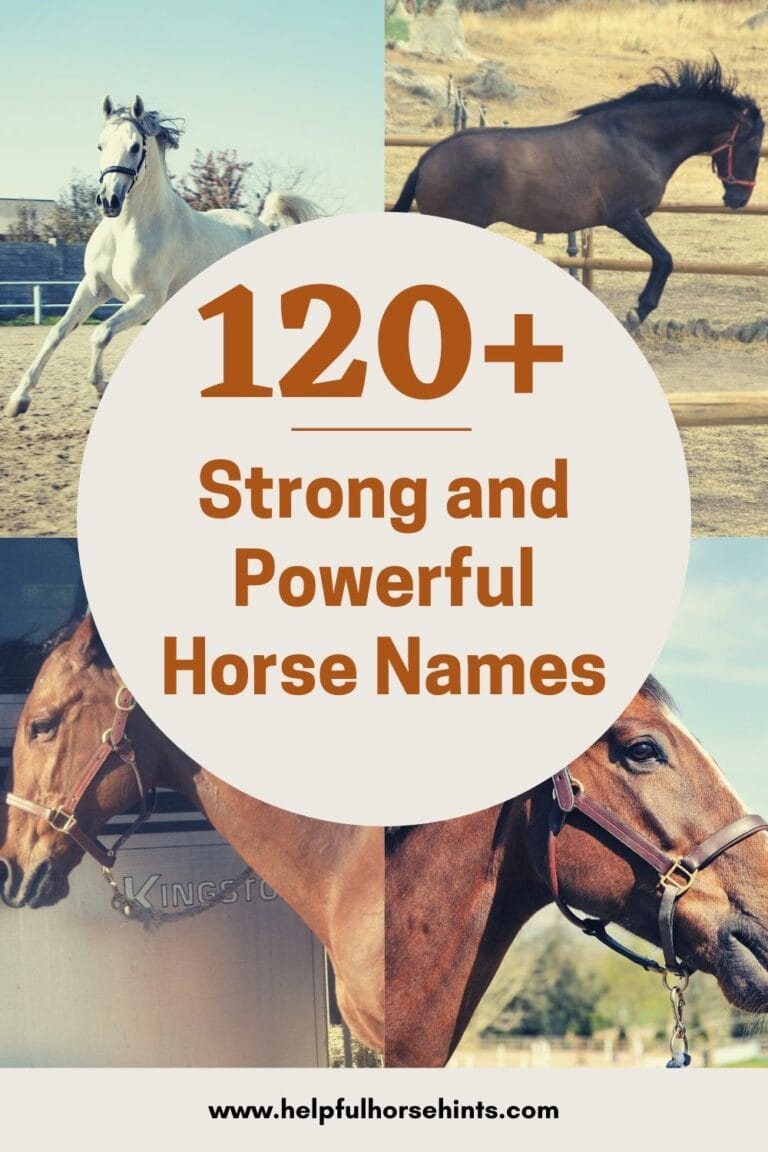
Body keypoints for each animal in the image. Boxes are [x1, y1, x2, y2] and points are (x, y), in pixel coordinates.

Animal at [4, 95, 324, 418]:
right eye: (100, 145)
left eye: (135, 146)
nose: (108, 201)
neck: (128, 230)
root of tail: (262, 225)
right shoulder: (94, 288)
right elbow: (57, 333)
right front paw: (18, 399)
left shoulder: (147, 299)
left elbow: (101, 334)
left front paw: (101, 386)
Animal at [390, 59, 764, 324]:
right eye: (751, 144)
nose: (739, 199)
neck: (638, 140)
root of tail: (428, 158)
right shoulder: (625, 217)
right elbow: (664, 259)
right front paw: (638, 312)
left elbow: (662, 259)